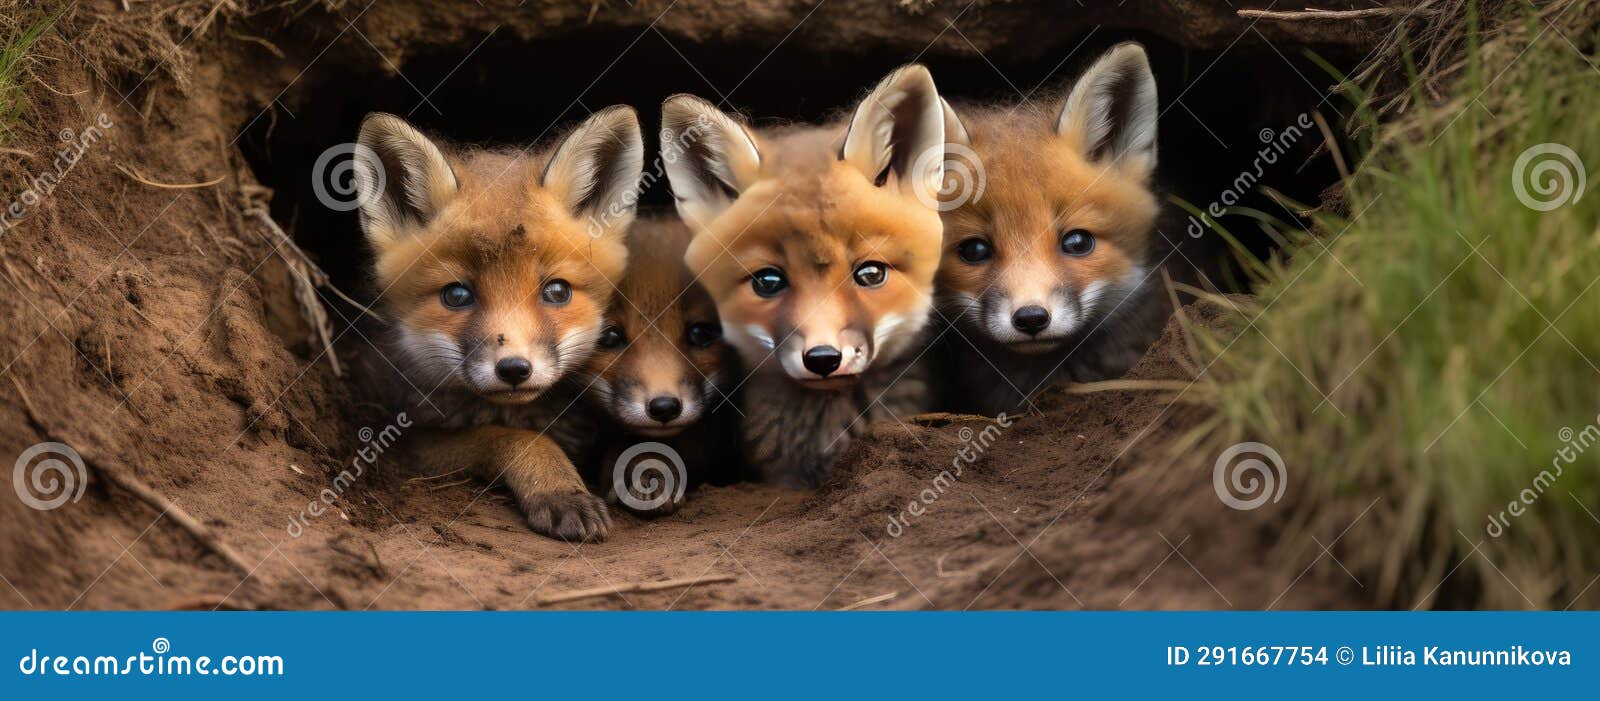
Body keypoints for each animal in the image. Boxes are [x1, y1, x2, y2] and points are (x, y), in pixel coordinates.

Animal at [351, 107, 644, 542]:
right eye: (457, 295)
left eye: (557, 291)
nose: (514, 369)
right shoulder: (407, 445)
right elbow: (514, 438)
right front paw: (556, 486)